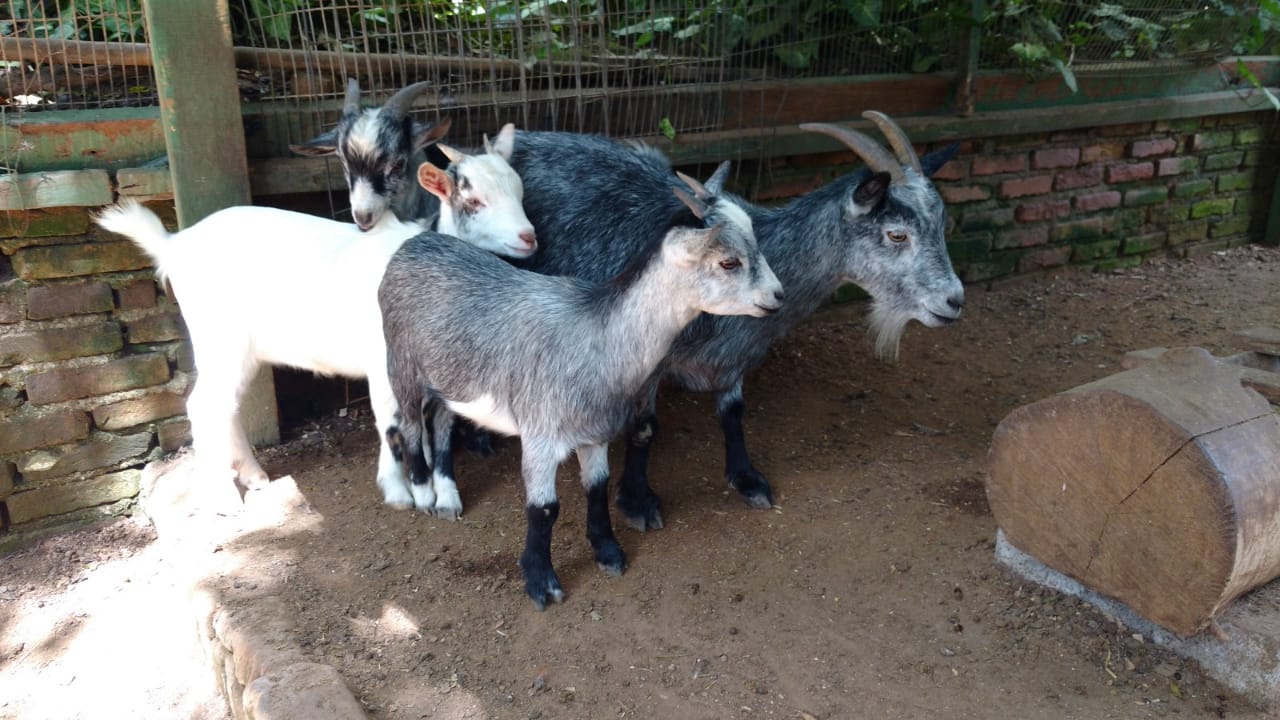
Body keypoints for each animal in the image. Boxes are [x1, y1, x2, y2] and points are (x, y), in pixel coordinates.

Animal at [94, 135, 535, 513]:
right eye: (473, 200)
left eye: (519, 192)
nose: (529, 237)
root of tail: (173, 244)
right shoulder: (384, 361)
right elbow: (391, 422)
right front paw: (399, 490)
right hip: (219, 336)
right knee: (204, 405)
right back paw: (224, 497)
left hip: (240, 349)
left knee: (227, 405)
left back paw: (253, 475)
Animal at [379, 182, 784, 609]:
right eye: (729, 262)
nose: (778, 295)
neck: (597, 337)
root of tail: (414, 244)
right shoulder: (540, 436)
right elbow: (544, 509)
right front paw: (541, 581)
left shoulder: (595, 433)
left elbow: (597, 488)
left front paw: (608, 551)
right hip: (401, 362)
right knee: (410, 425)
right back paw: (423, 492)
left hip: (448, 376)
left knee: (440, 421)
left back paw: (447, 495)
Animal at [486, 112, 963, 530]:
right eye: (896, 234)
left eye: (942, 223)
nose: (954, 300)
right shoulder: (644, 355)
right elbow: (643, 428)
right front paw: (638, 500)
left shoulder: (736, 356)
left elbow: (733, 413)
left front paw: (746, 477)